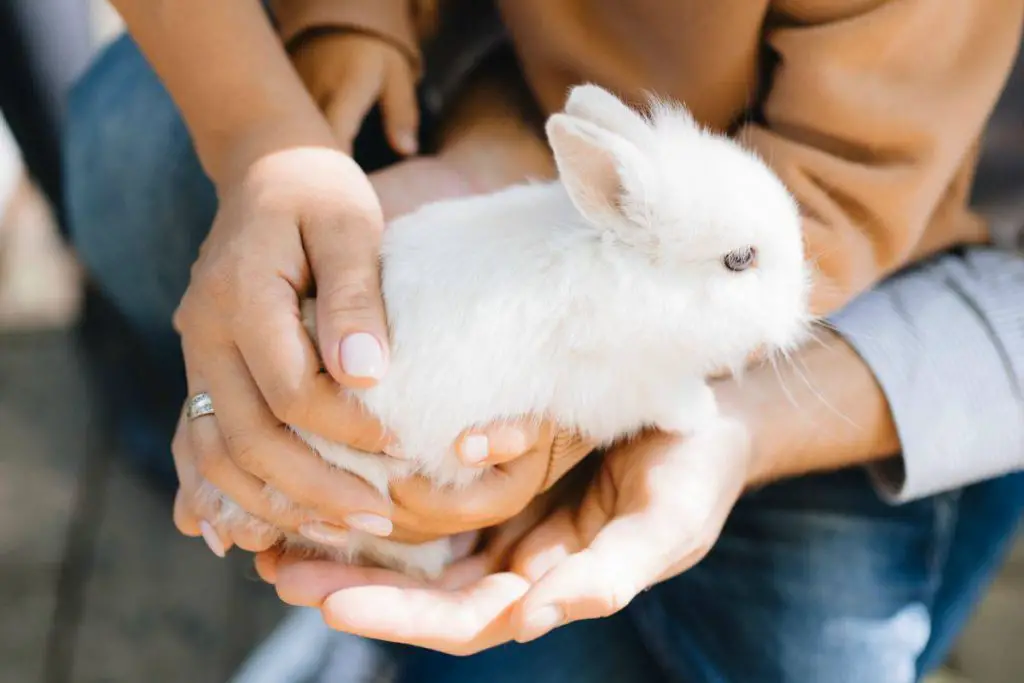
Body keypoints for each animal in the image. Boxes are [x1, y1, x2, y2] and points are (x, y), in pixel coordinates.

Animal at [201, 83, 812, 579]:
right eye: (739, 259)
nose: (801, 306)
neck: (625, 275)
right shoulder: (625, 386)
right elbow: (668, 401)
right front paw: (702, 413)